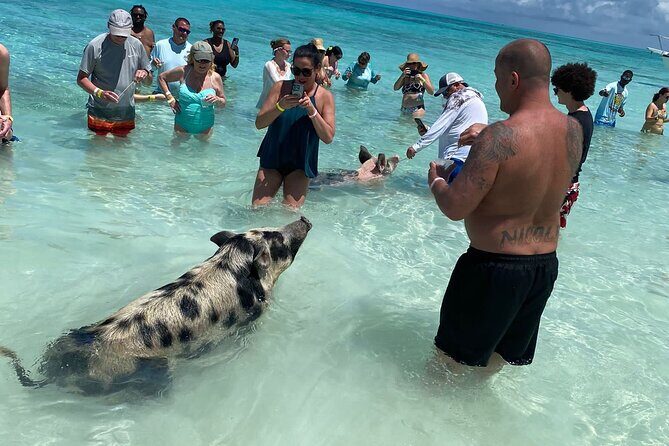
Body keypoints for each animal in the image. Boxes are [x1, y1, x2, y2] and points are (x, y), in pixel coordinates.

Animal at [0, 217, 312, 396]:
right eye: (278, 240)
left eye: (271, 229)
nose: (304, 218)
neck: (233, 262)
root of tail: (55, 371)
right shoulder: (252, 316)